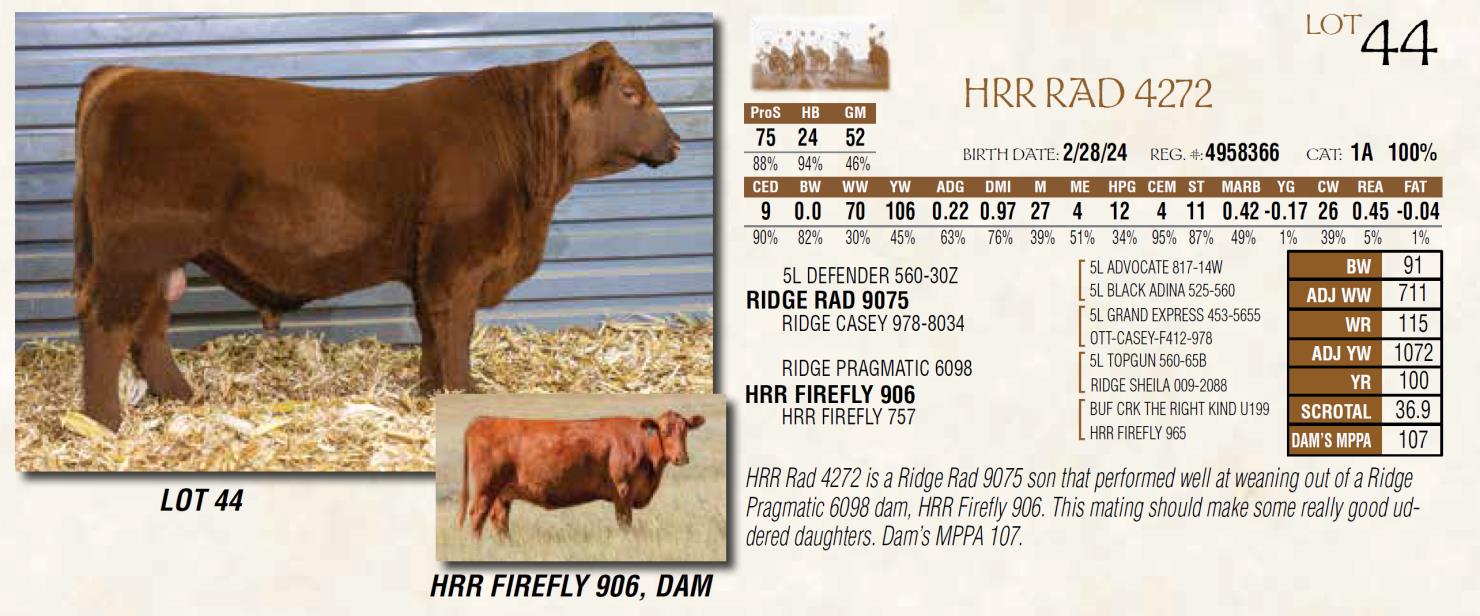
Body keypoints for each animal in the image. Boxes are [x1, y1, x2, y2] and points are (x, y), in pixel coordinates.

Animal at [70, 42, 682, 430]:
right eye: (630, 93)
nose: (676, 141)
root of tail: (127, 73)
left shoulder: (426, 262)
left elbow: (432, 327)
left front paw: (431, 389)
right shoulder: (457, 257)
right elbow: (455, 326)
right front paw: (462, 392)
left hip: (156, 257)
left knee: (147, 326)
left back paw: (178, 396)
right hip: (135, 250)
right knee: (108, 325)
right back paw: (104, 421)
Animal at [458, 410, 706, 538]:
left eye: (686, 431)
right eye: (664, 431)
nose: (682, 458)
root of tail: (484, 419)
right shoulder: (623, 490)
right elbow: (625, 522)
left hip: (502, 493)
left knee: (499, 519)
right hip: (486, 487)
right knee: (478, 516)